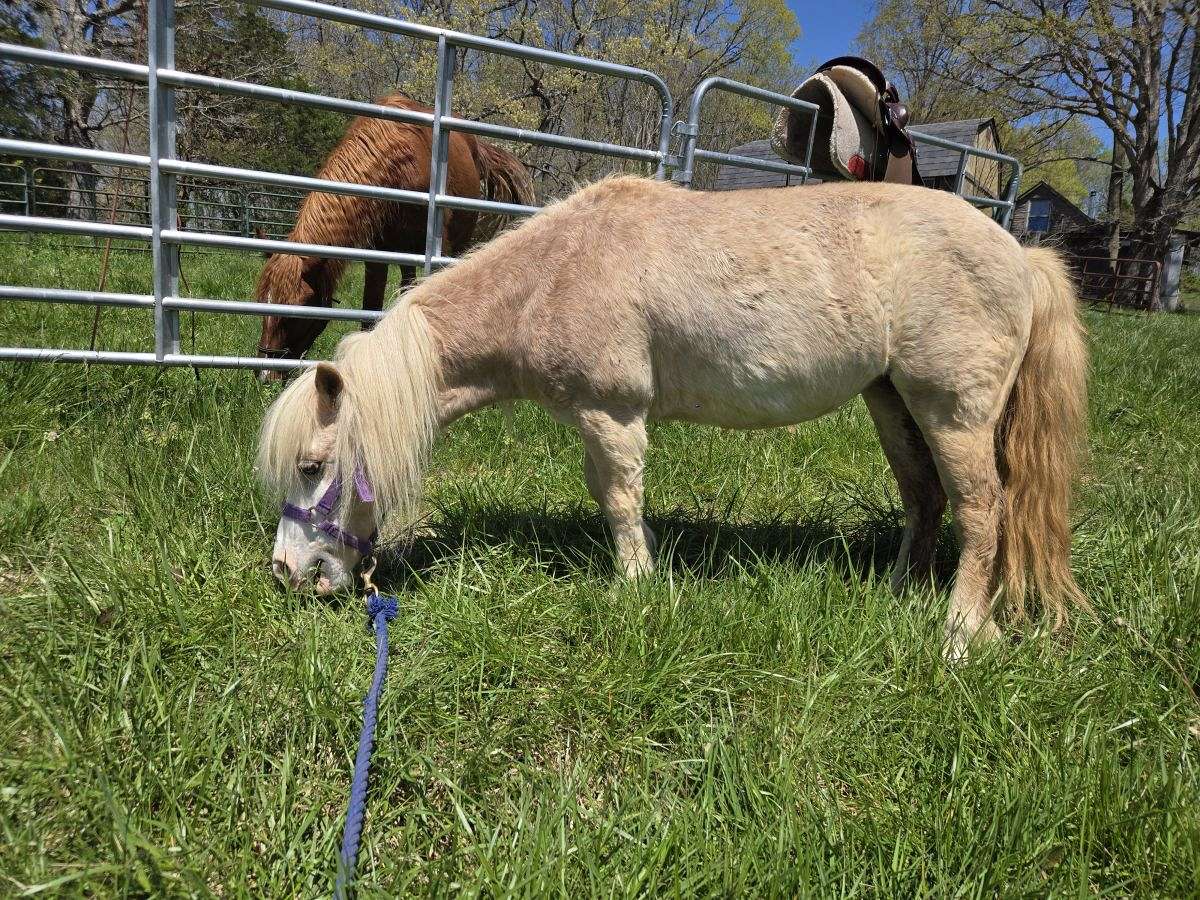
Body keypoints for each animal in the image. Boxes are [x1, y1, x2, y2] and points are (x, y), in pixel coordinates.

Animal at [254, 93, 534, 369]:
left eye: (298, 307)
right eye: (262, 299)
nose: (265, 373)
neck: (398, 165)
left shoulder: (439, 247)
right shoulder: (378, 257)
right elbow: (370, 312)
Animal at [257, 175, 1090, 659]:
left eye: (313, 466)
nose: (288, 574)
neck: (552, 275)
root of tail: (1020, 253)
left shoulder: (611, 411)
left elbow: (620, 499)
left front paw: (634, 585)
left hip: (953, 412)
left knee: (984, 510)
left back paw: (961, 631)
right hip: (892, 403)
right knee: (926, 496)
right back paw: (900, 591)